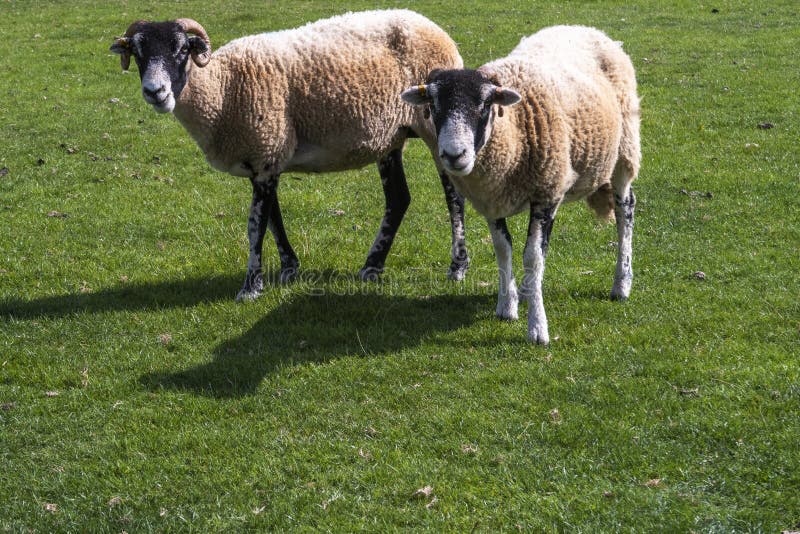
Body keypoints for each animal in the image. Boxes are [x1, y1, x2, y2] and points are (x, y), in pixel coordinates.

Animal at [109, 11, 470, 301]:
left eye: (183, 49)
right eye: (138, 53)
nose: (155, 92)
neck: (222, 89)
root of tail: (434, 27)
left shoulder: (266, 152)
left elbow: (255, 225)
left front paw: (250, 287)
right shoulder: (265, 158)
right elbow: (273, 219)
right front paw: (288, 268)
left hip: (435, 127)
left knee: (453, 196)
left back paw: (457, 266)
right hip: (390, 137)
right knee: (398, 198)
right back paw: (372, 267)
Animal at [401, 25, 641, 344]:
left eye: (485, 104)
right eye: (433, 104)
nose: (454, 155)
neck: (513, 130)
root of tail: (584, 28)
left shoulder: (546, 193)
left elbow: (533, 257)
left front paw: (537, 327)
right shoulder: (490, 198)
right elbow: (503, 249)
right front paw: (507, 305)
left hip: (624, 151)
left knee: (625, 210)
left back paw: (621, 283)